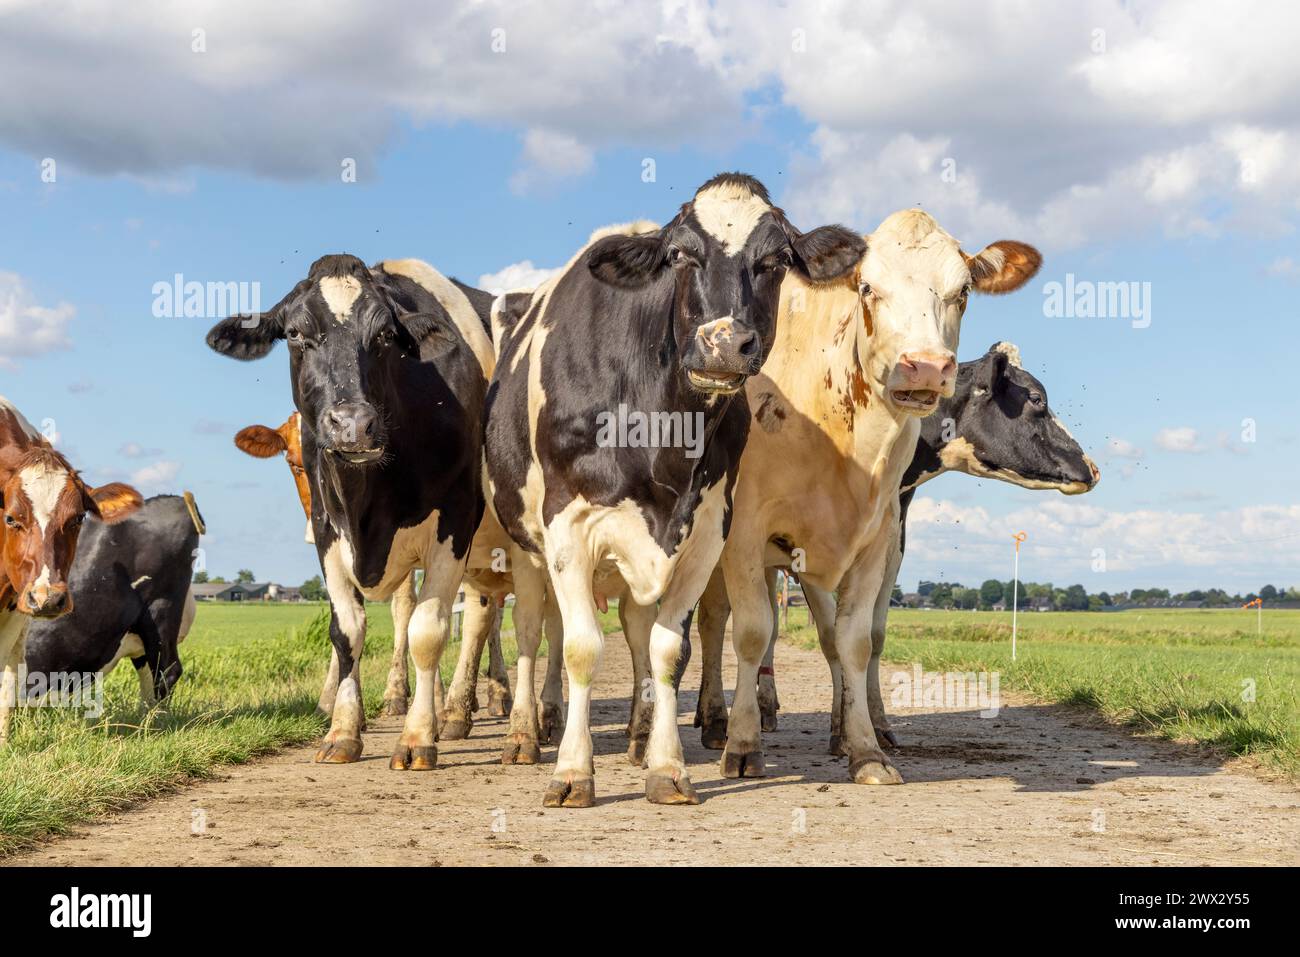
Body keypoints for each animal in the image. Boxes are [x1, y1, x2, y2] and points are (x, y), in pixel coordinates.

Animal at [207, 254, 507, 770]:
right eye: (294, 333)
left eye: (385, 334)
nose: (352, 425)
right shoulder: (328, 530)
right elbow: (347, 629)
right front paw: (344, 728)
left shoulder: (456, 521)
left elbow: (428, 629)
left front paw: (417, 736)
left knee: (492, 614)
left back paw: (488, 712)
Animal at [483, 173, 865, 807]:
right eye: (682, 254)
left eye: (776, 260)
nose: (724, 343)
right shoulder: (569, 525)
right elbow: (581, 648)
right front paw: (573, 772)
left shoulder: (706, 530)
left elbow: (667, 649)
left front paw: (666, 767)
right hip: (527, 546)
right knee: (538, 633)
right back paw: (524, 734)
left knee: (637, 634)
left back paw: (637, 736)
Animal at [693, 341, 1100, 753]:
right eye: (1036, 398)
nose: (1091, 468)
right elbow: (828, 635)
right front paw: (842, 728)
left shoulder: (891, 541)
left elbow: (870, 634)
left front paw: (871, 724)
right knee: (713, 621)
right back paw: (714, 718)